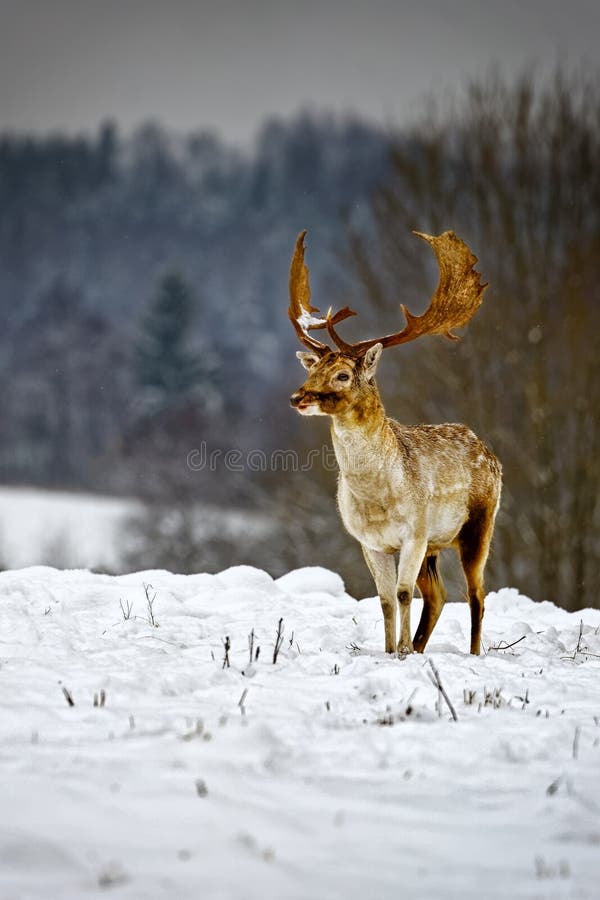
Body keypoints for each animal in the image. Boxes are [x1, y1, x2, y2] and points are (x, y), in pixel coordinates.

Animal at [288, 229, 502, 656]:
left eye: (342, 374)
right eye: (313, 369)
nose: (299, 397)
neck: (377, 500)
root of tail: (492, 456)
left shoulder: (415, 532)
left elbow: (403, 594)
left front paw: (401, 652)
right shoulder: (369, 542)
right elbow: (386, 599)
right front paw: (391, 650)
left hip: (479, 523)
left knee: (476, 593)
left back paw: (470, 653)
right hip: (435, 547)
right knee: (437, 594)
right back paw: (418, 646)